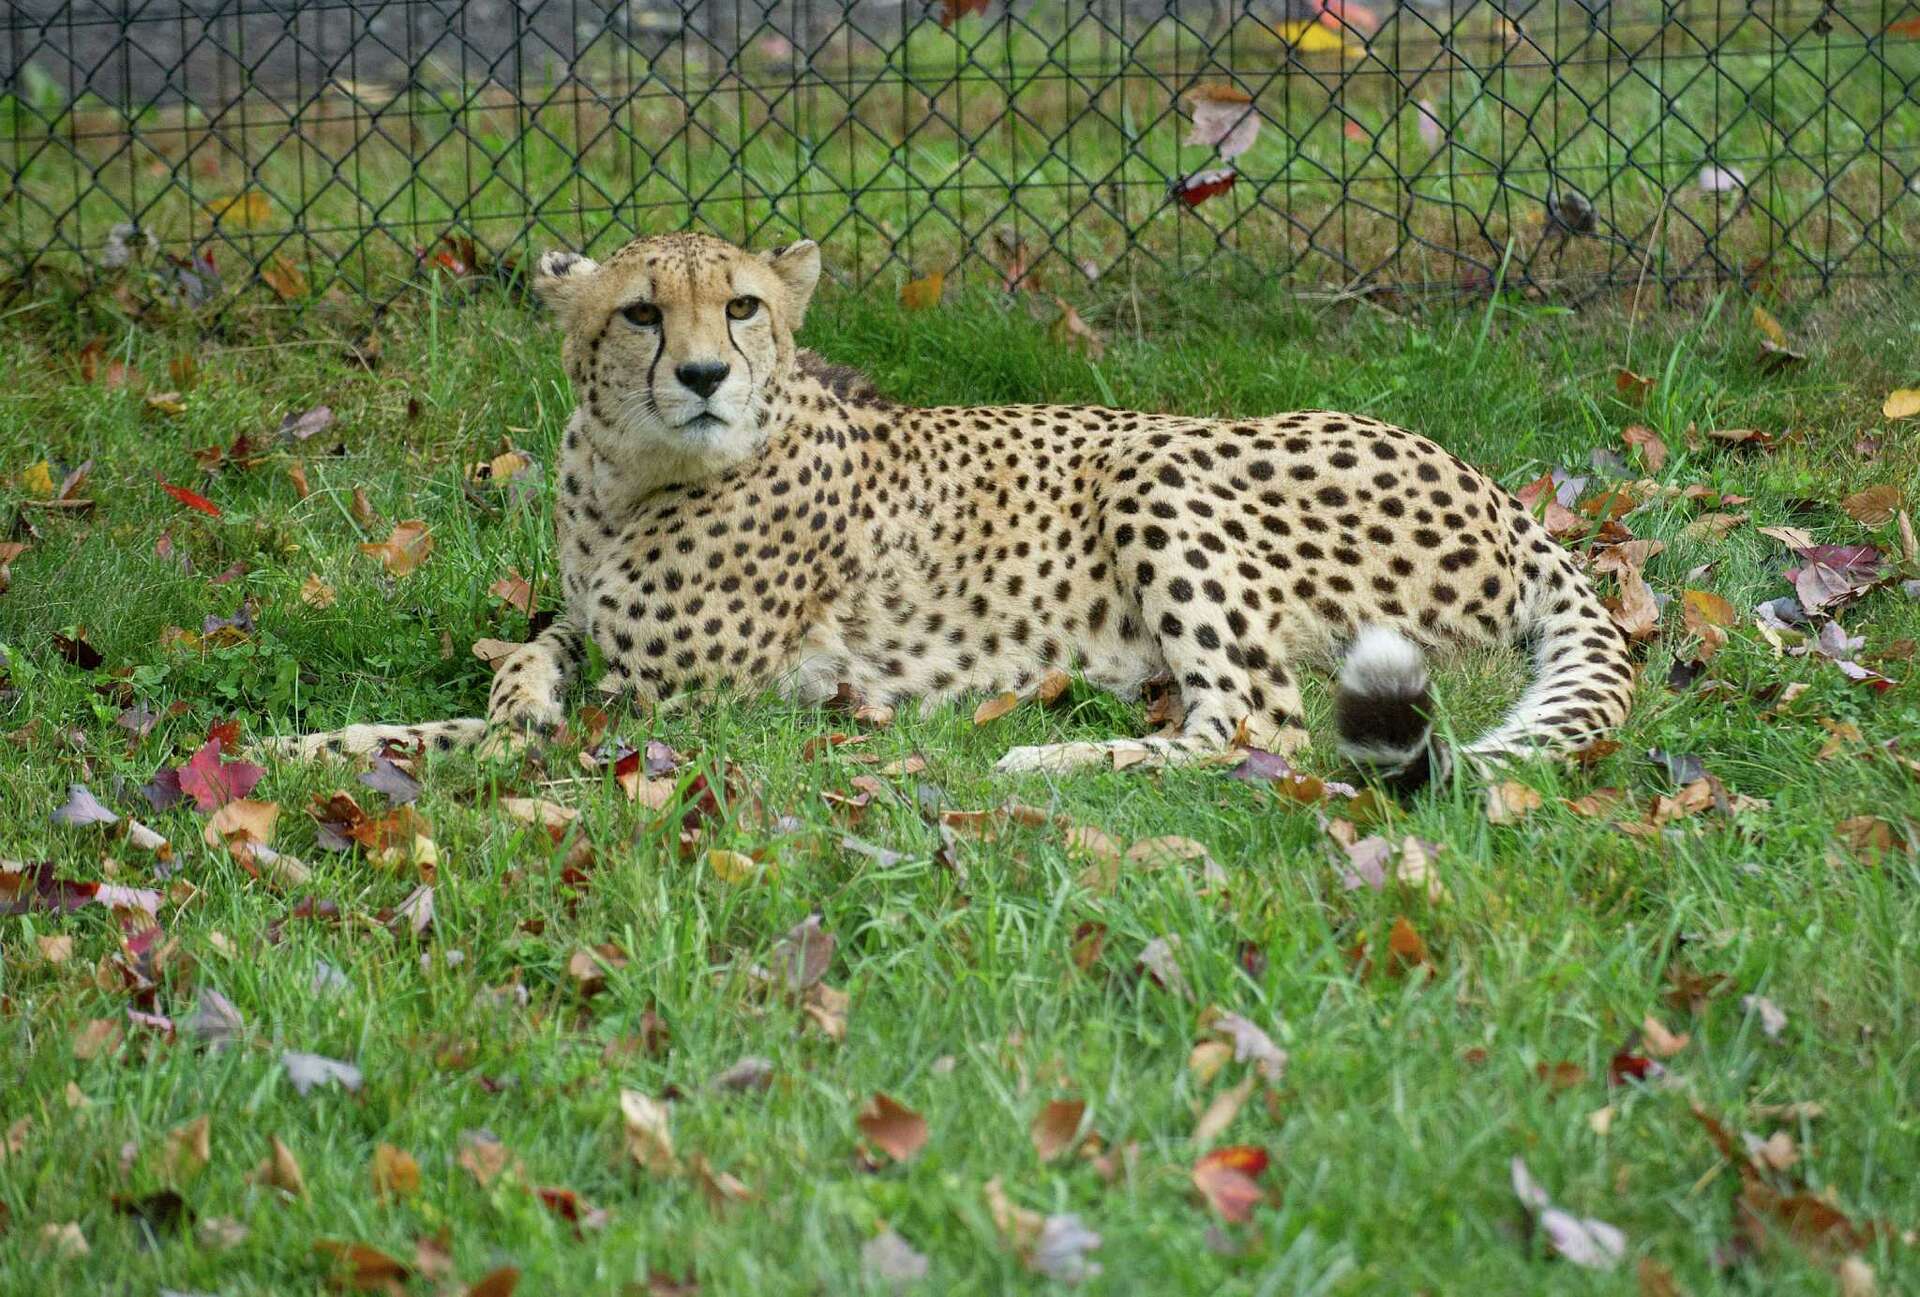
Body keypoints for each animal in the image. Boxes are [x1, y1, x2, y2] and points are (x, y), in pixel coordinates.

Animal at [265, 230, 1635, 787]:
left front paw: (309, 755)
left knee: (1265, 727)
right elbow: (527, 657)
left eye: (742, 307)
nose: (702, 376)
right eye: (644, 312)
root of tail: (1498, 492)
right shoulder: (590, 626)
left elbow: (445, 731)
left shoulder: (671, 708)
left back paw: (1048, 757)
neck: (631, 476)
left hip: (1156, 464)